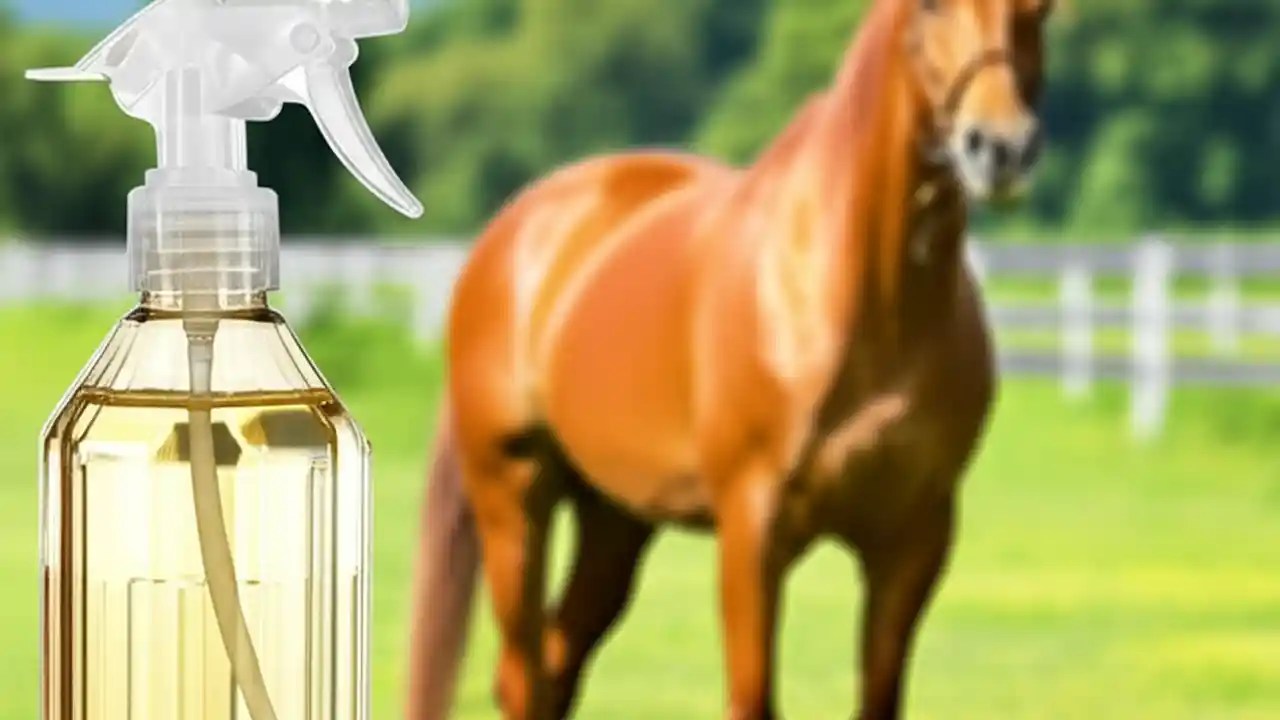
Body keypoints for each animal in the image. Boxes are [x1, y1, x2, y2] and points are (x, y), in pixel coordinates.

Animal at [407, 0, 1053, 718]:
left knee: (555, 666)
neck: (859, 295)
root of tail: (512, 231)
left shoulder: (912, 542)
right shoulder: (752, 535)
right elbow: (753, 698)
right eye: (930, 8)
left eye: (1039, 10)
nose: (1000, 148)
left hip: (614, 521)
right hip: (513, 495)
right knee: (524, 675)